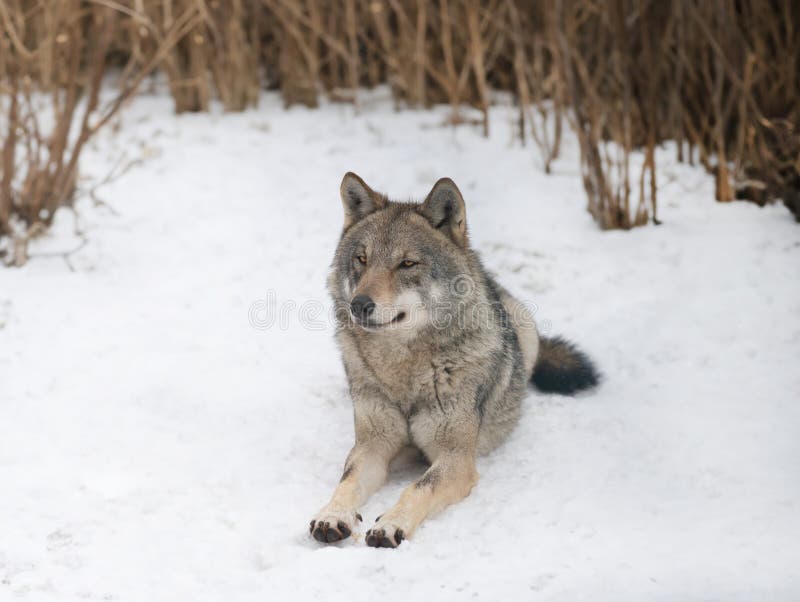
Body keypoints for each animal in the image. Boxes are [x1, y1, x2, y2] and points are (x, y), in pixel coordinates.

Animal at [309, 172, 599, 548]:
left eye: (407, 263)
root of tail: (488, 279)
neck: (404, 371)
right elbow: (347, 481)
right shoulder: (372, 446)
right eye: (361, 259)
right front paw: (332, 515)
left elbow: (418, 487)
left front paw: (390, 524)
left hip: (524, 324)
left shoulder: (456, 459)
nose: (359, 304)